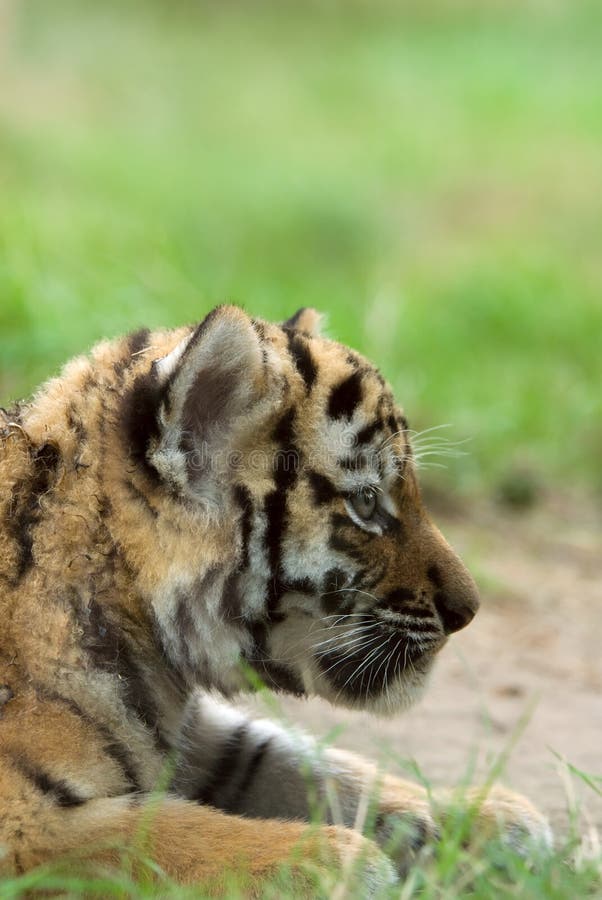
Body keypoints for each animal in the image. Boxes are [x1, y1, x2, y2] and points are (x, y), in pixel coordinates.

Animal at [0, 305, 551, 894]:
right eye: (366, 502)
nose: (466, 612)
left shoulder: (200, 735)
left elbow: (304, 760)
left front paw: (479, 813)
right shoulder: (25, 824)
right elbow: (162, 834)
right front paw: (343, 860)